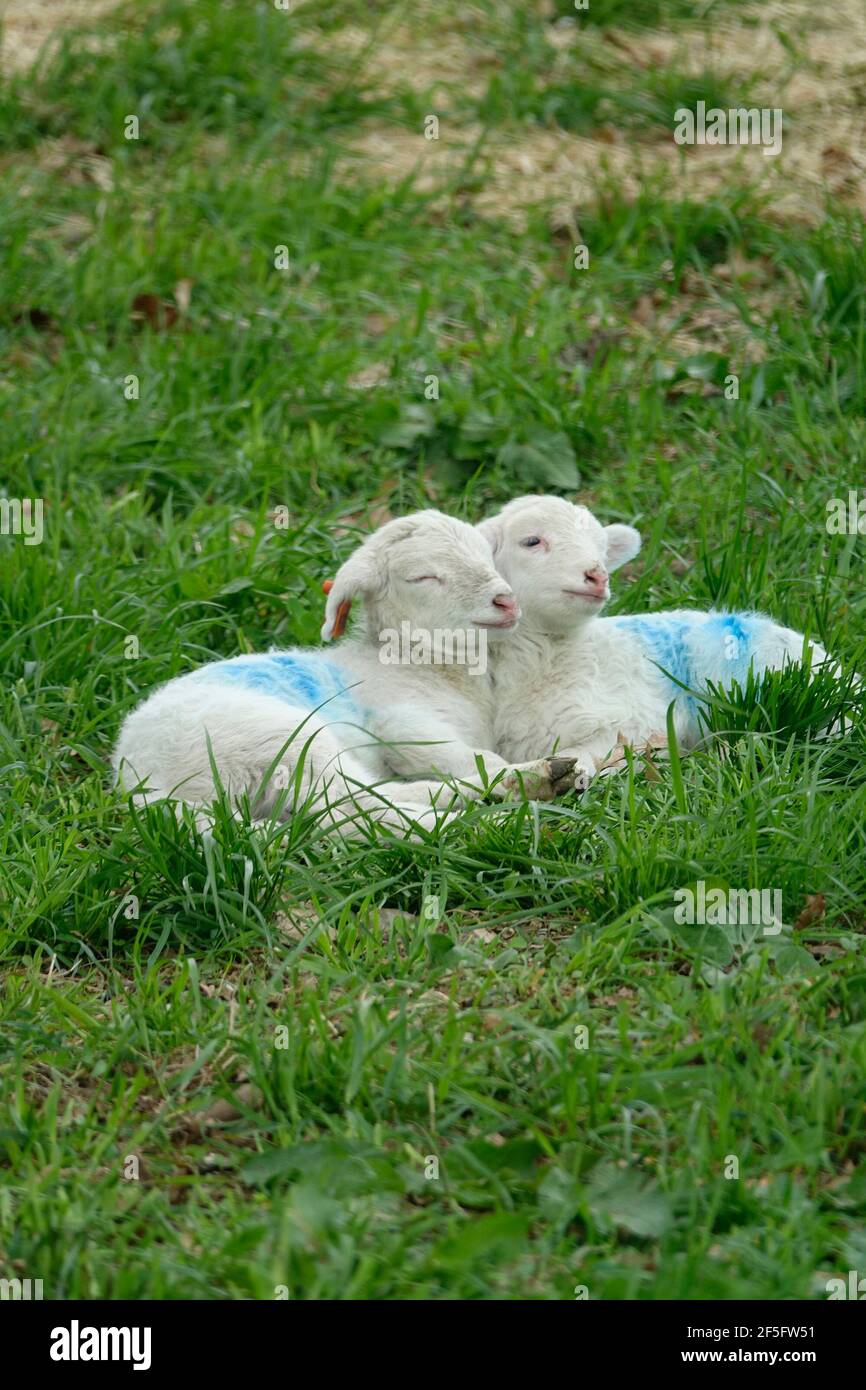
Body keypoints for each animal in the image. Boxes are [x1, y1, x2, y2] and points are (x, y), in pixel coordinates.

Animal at [113, 509, 580, 838]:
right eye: (422, 577)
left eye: (487, 558)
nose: (506, 601)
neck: (420, 663)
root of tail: (145, 781)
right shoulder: (399, 723)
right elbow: (472, 755)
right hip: (279, 740)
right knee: (351, 808)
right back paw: (495, 820)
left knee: (373, 796)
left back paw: (529, 785)